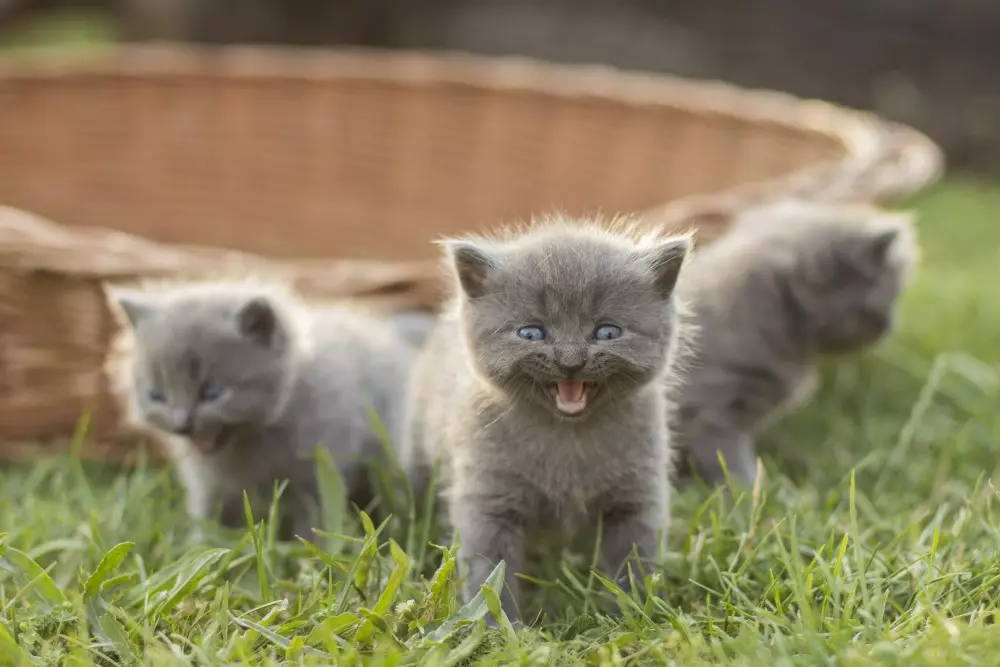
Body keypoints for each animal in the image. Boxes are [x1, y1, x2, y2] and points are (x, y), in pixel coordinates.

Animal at [110, 280, 418, 540]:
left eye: (212, 394)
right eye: (157, 396)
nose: (182, 424)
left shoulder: (318, 470)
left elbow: (315, 520)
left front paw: (306, 557)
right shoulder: (208, 485)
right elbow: (209, 519)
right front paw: (200, 549)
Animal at [402, 217, 692, 624]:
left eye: (607, 332)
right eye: (531, 333)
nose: (571, 360)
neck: (567, 438)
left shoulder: (637, 491)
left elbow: (637, 555)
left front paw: (639, 612)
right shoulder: (488, 494)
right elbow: (489, 567)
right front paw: (497, 625)